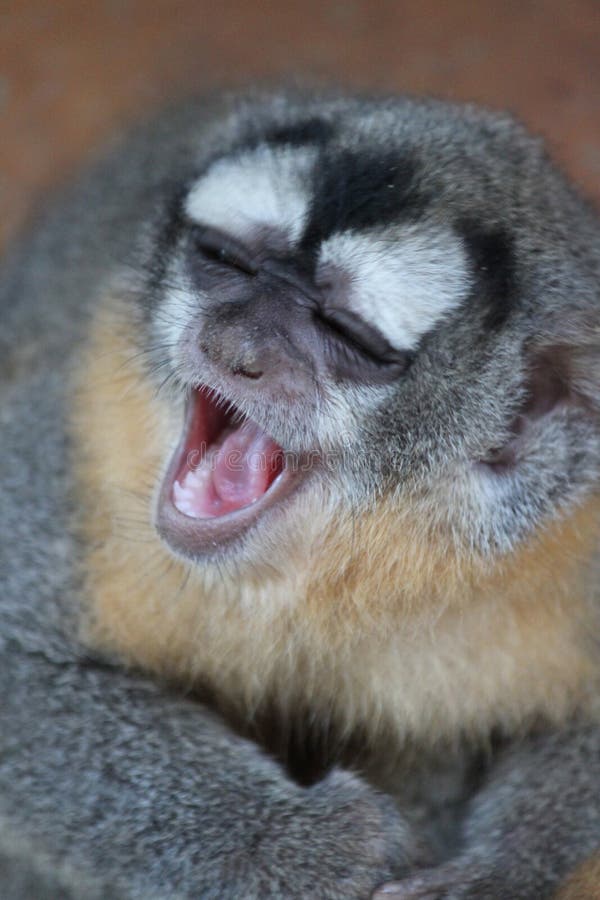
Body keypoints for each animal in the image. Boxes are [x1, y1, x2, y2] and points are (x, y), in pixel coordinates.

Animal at [1, 85, 600, 899]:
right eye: (223, 259)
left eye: (349, 336)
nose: (233, 348)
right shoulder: (84, 426)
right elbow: (19, 669)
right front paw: (292, 844)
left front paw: (494, 878)